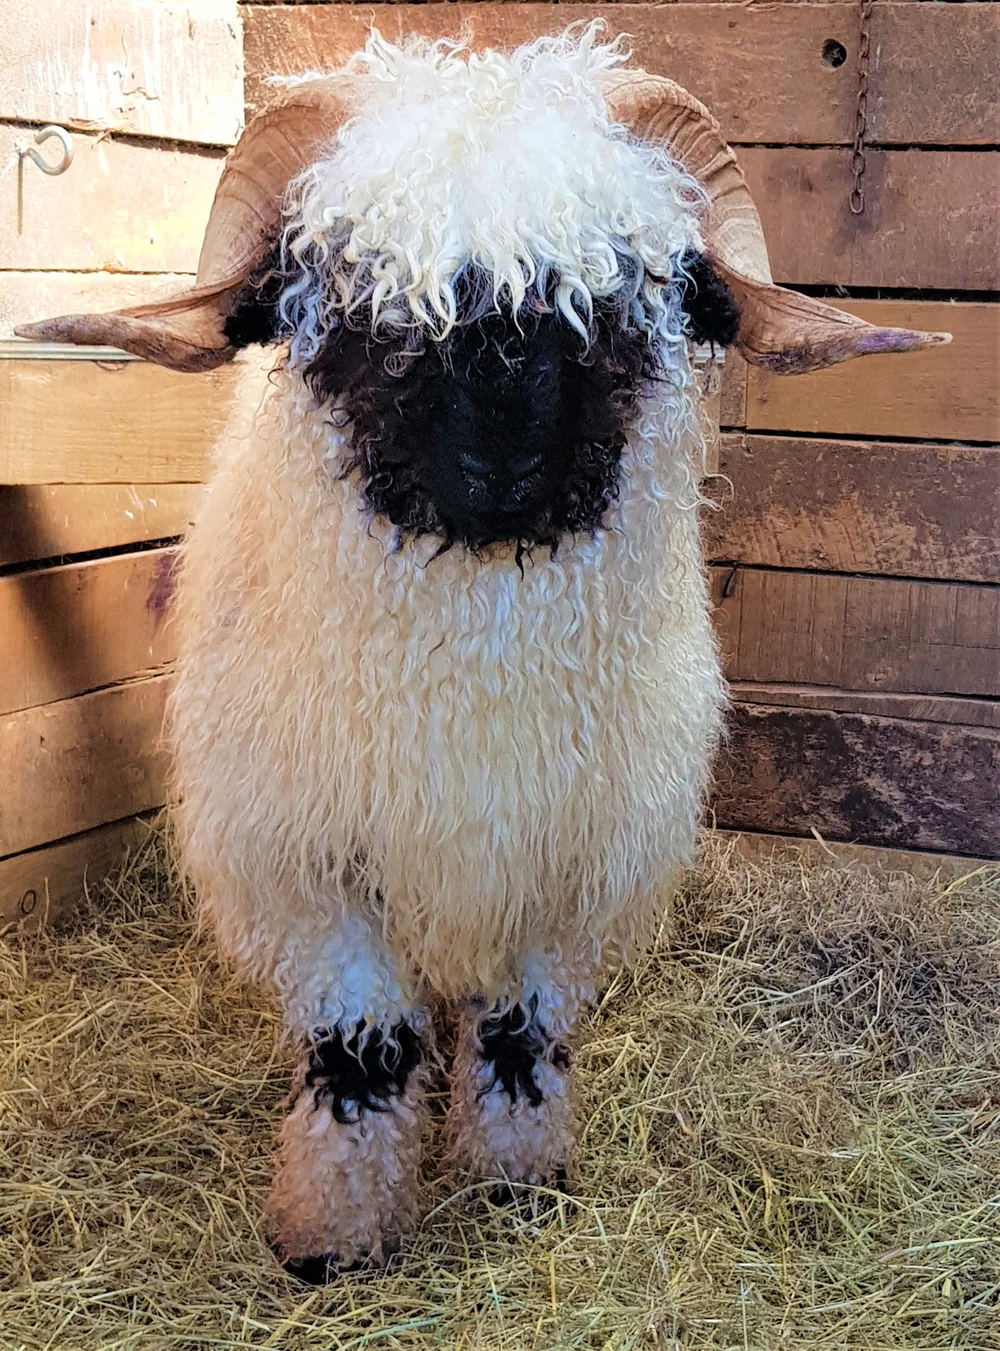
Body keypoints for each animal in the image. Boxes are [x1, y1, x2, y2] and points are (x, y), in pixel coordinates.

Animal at [20, 24, 949, 1282]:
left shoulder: (558, 854)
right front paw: (336, 1239)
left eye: (628, 285)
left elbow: (519, 1029)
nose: (500, 461)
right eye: (351, 289)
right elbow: (360, 1050)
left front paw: (517, 1187)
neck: (473, 679)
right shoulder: (315, 865)